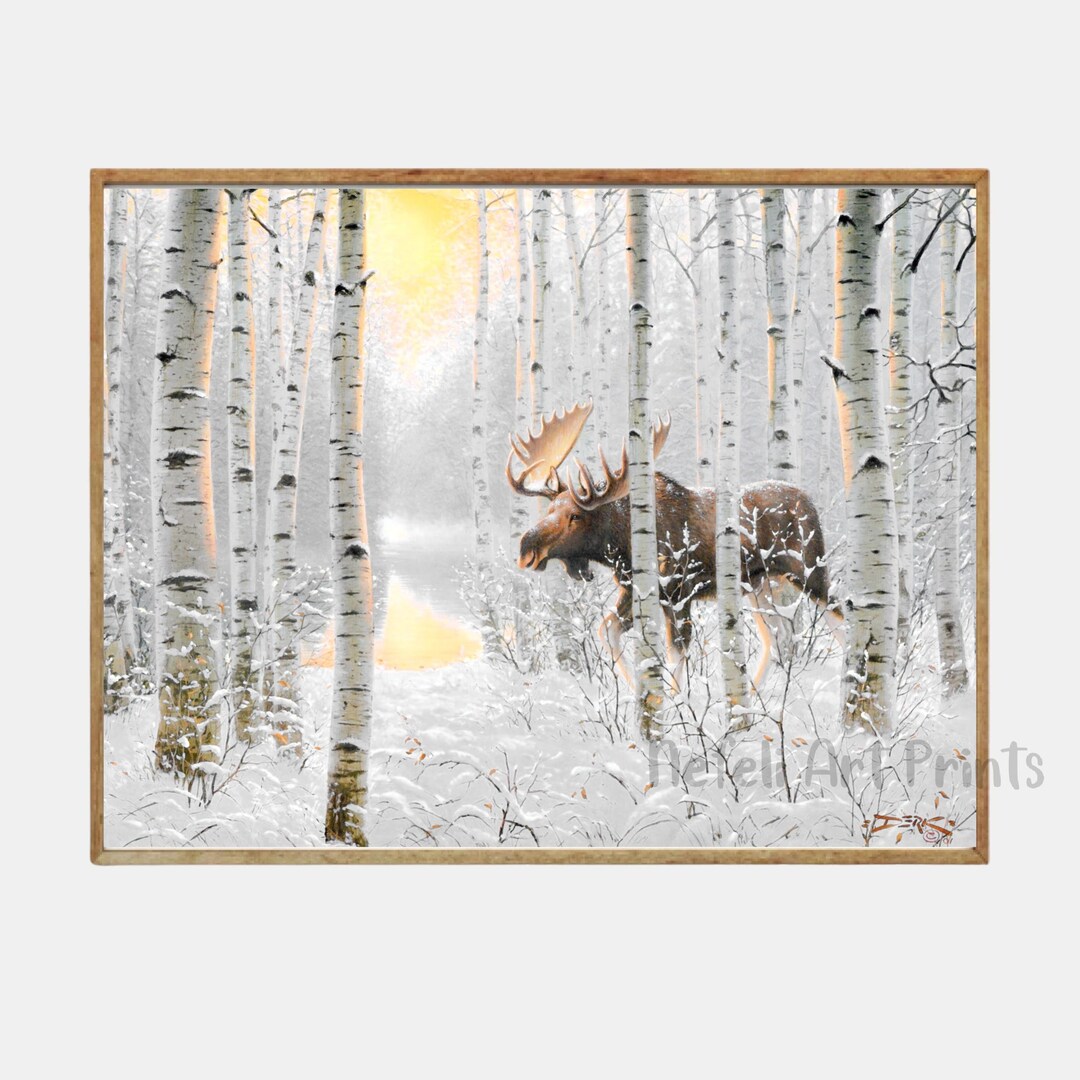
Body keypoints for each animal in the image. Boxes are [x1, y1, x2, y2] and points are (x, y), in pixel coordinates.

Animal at [506, 400, 842, 692]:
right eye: (550, 510)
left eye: (575, 516)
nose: (526, 548)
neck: (623, 546)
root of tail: (810, 502)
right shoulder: (634, 591)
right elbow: (608, 631)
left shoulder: (680, 593)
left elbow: (676, 653)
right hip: (760, 584)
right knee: (781, 636)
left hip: (810, 572)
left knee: (840, 618)